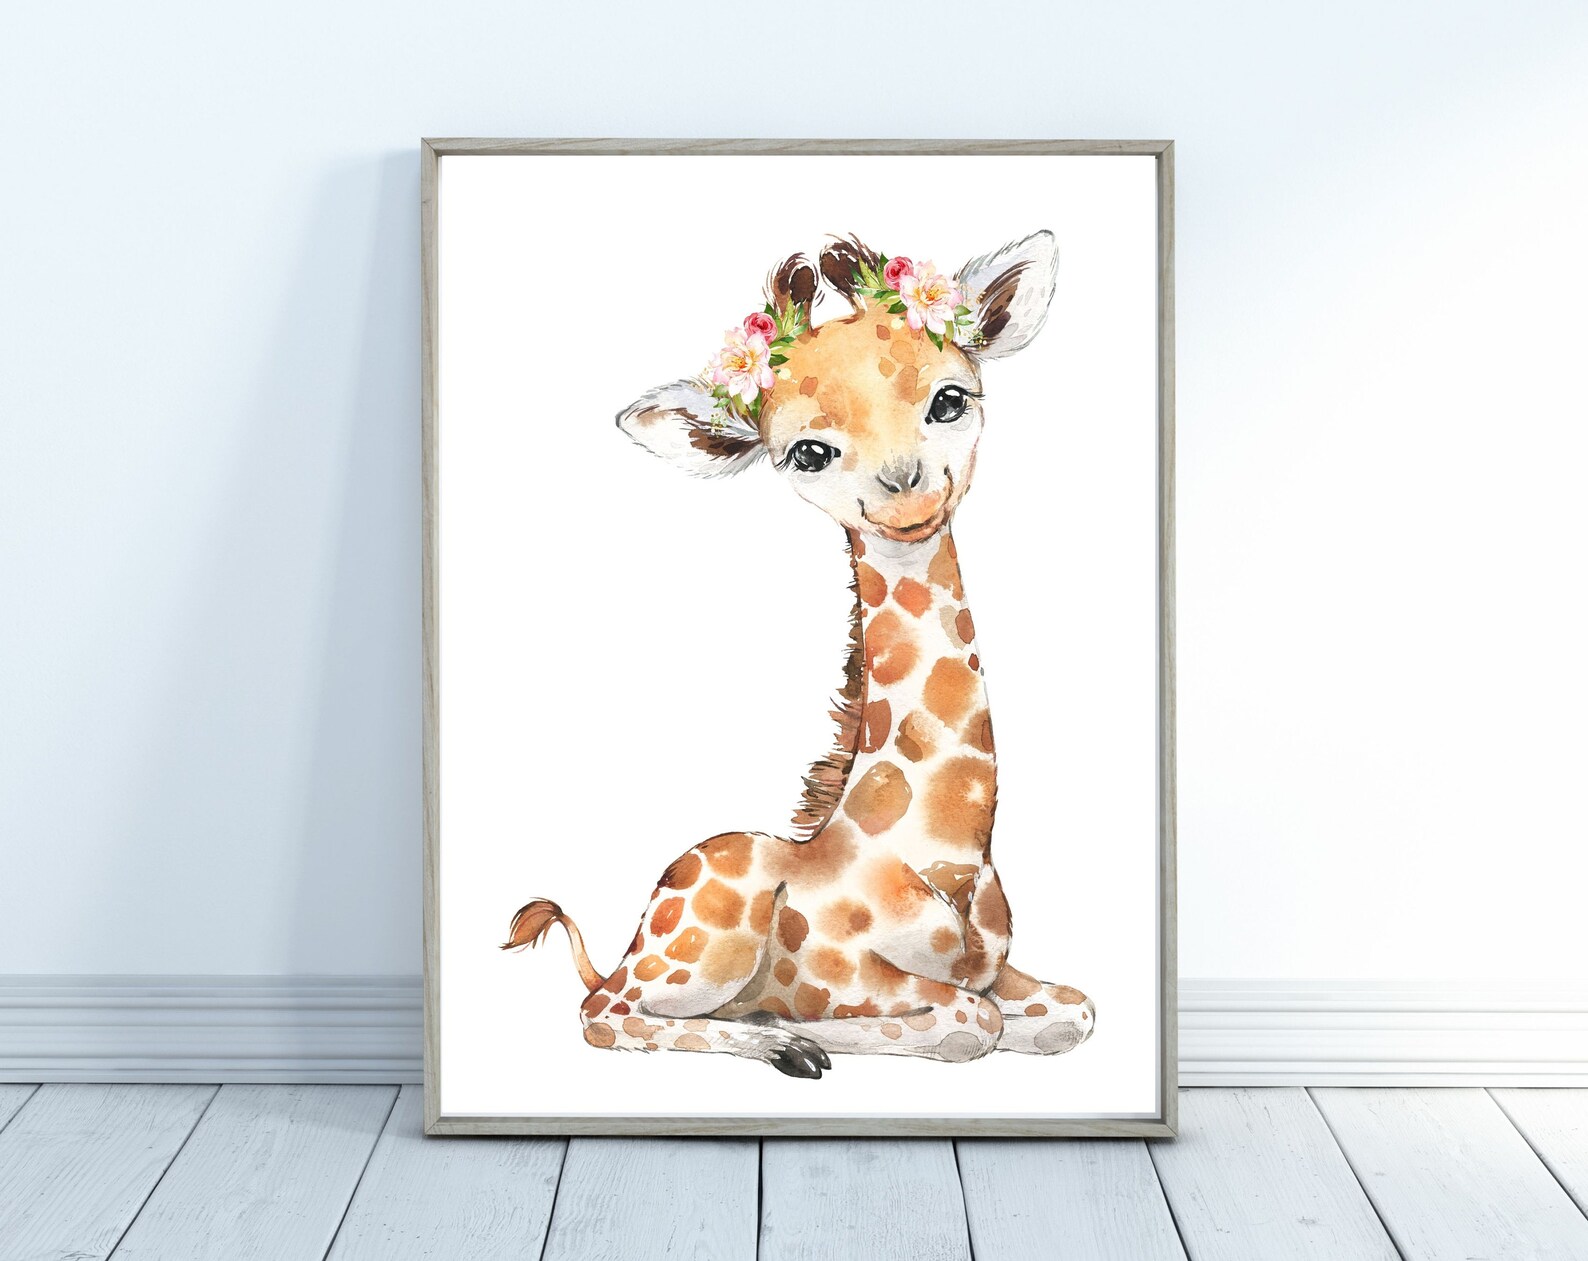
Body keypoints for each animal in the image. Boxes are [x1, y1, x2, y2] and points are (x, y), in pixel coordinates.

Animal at [503, 232, 1094, 1077]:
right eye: (809, 452)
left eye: (950, 399)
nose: (907, 489)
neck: (946, 857)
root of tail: (631, 939)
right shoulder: (847, 970)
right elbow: (967, 1025)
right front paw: (803, 1029)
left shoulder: (1001, 968)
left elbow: (1070, 1014)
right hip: (699, 954)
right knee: (601, 1013)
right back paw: (782, 1041)